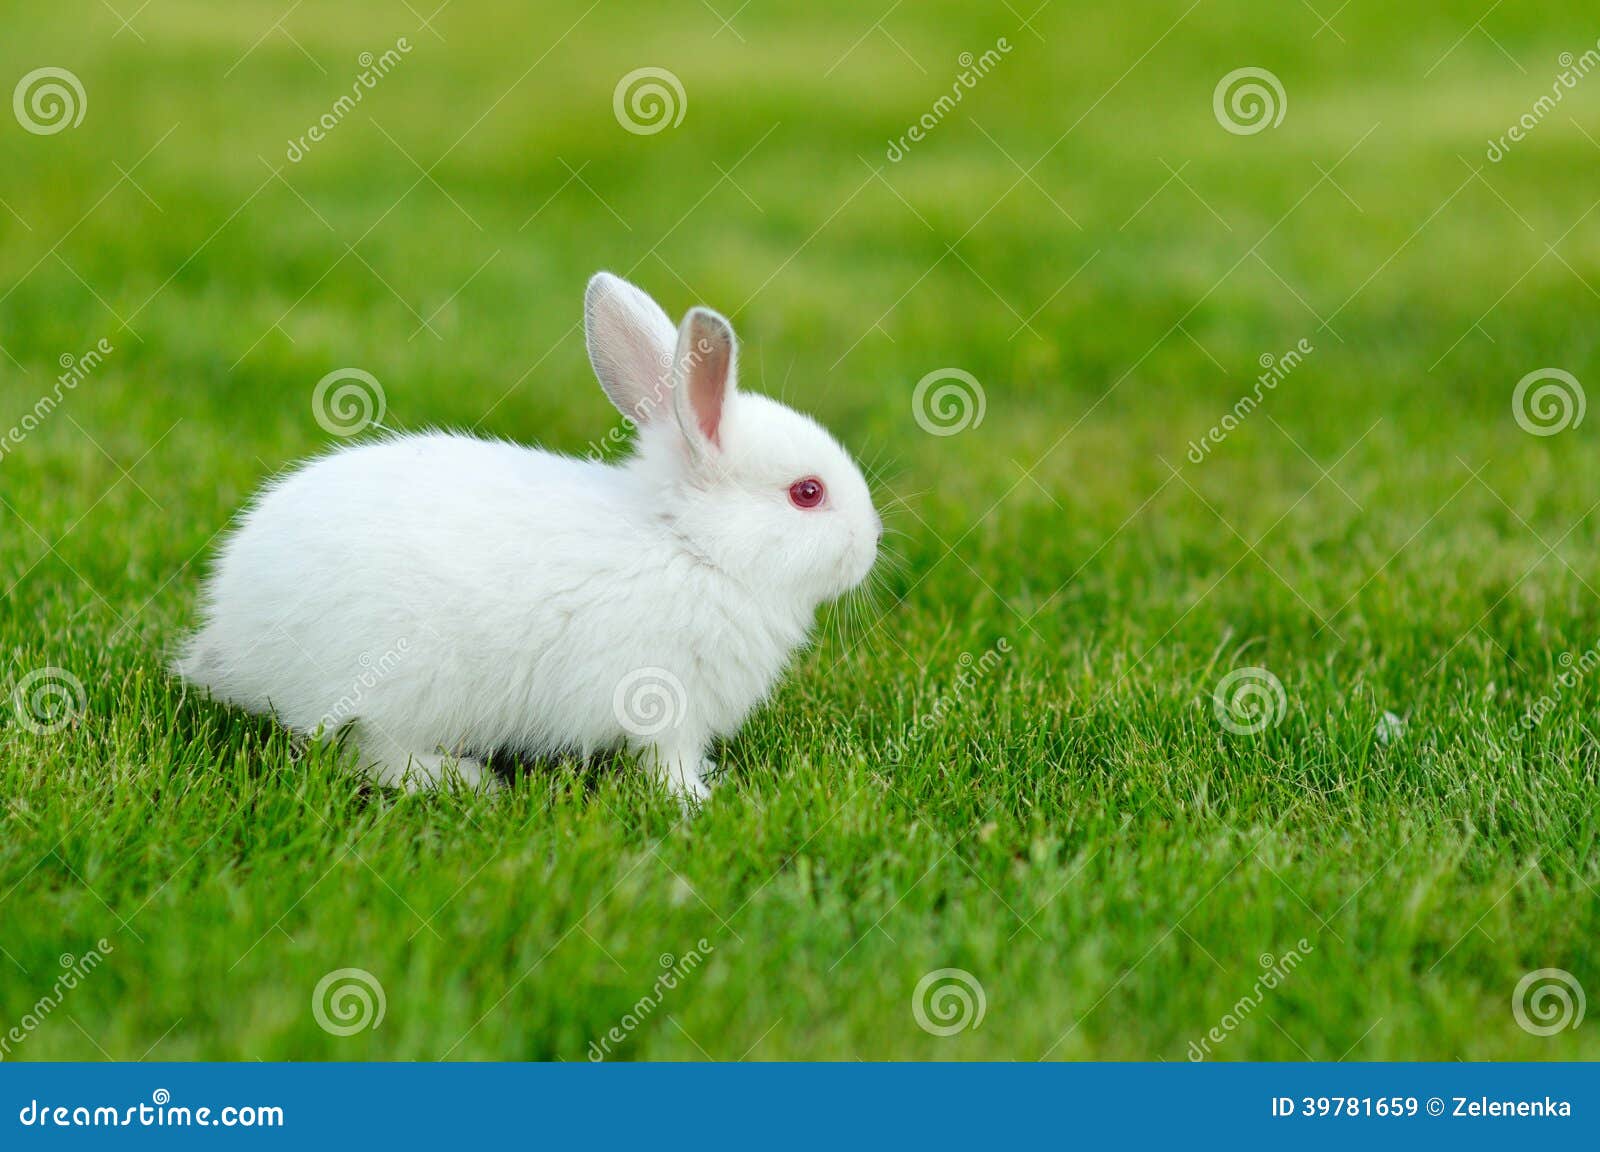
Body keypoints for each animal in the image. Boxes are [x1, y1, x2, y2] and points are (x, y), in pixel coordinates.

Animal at [175, 272, 882, 803]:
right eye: (808, 493)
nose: (871, 543)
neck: (693, 546)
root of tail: (234, 634)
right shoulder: (666, 703)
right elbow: (668, 762)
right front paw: (695, 801)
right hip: (406, 687)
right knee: (368, 751)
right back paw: (467, 782)